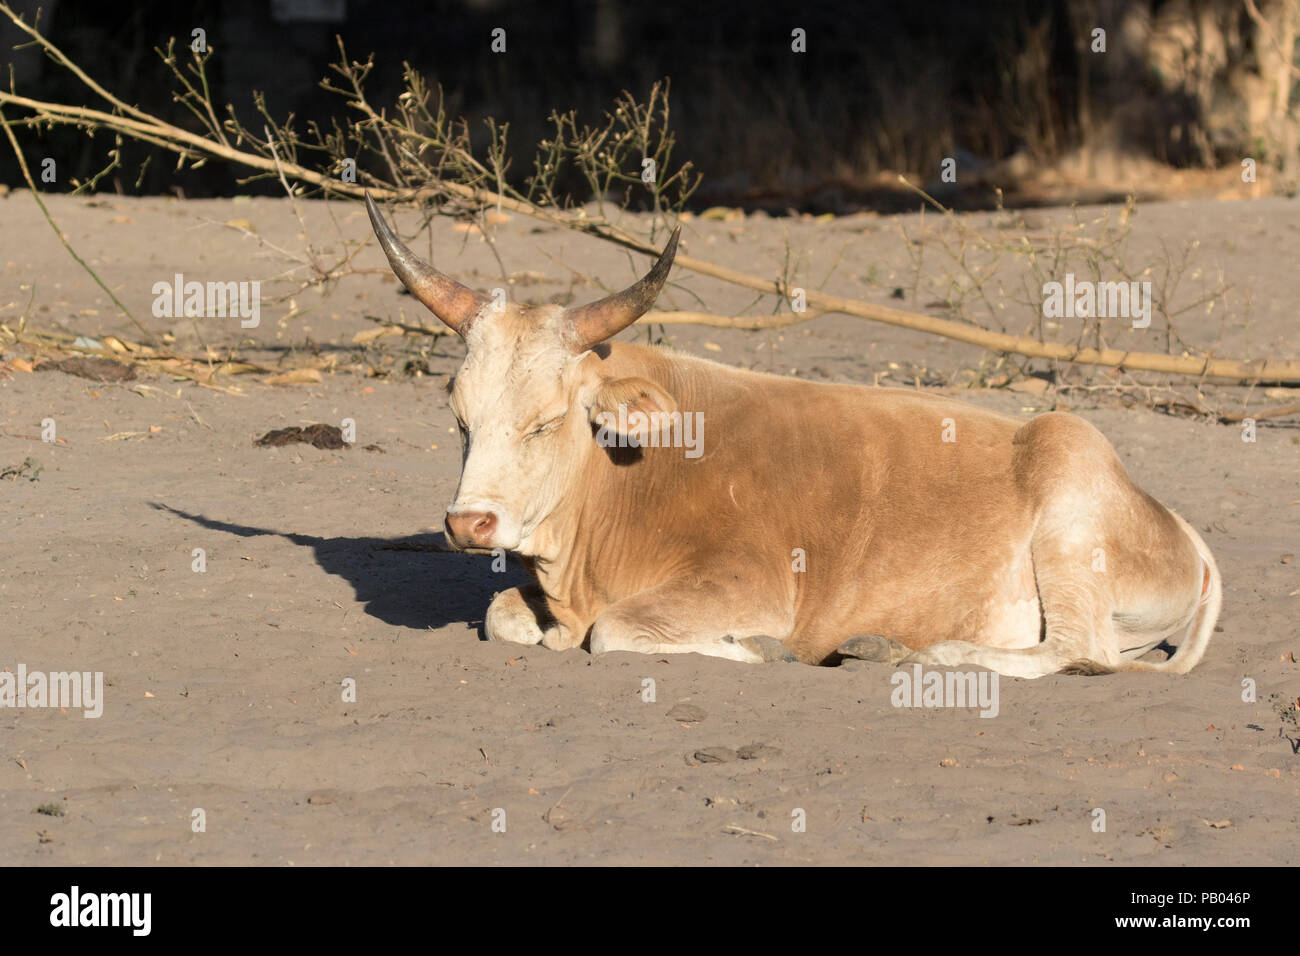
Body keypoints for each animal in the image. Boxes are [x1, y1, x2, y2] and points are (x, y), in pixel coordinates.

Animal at [365, 193, 1221, 678]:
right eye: (459, 418)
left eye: (545, 421)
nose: (469, 523)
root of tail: (1174, 524)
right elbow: (501, 615)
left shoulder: (748, 586)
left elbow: (614, 633)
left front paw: (759, 650)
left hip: (1069, 500)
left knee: (1078, 652)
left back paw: (912, 652)